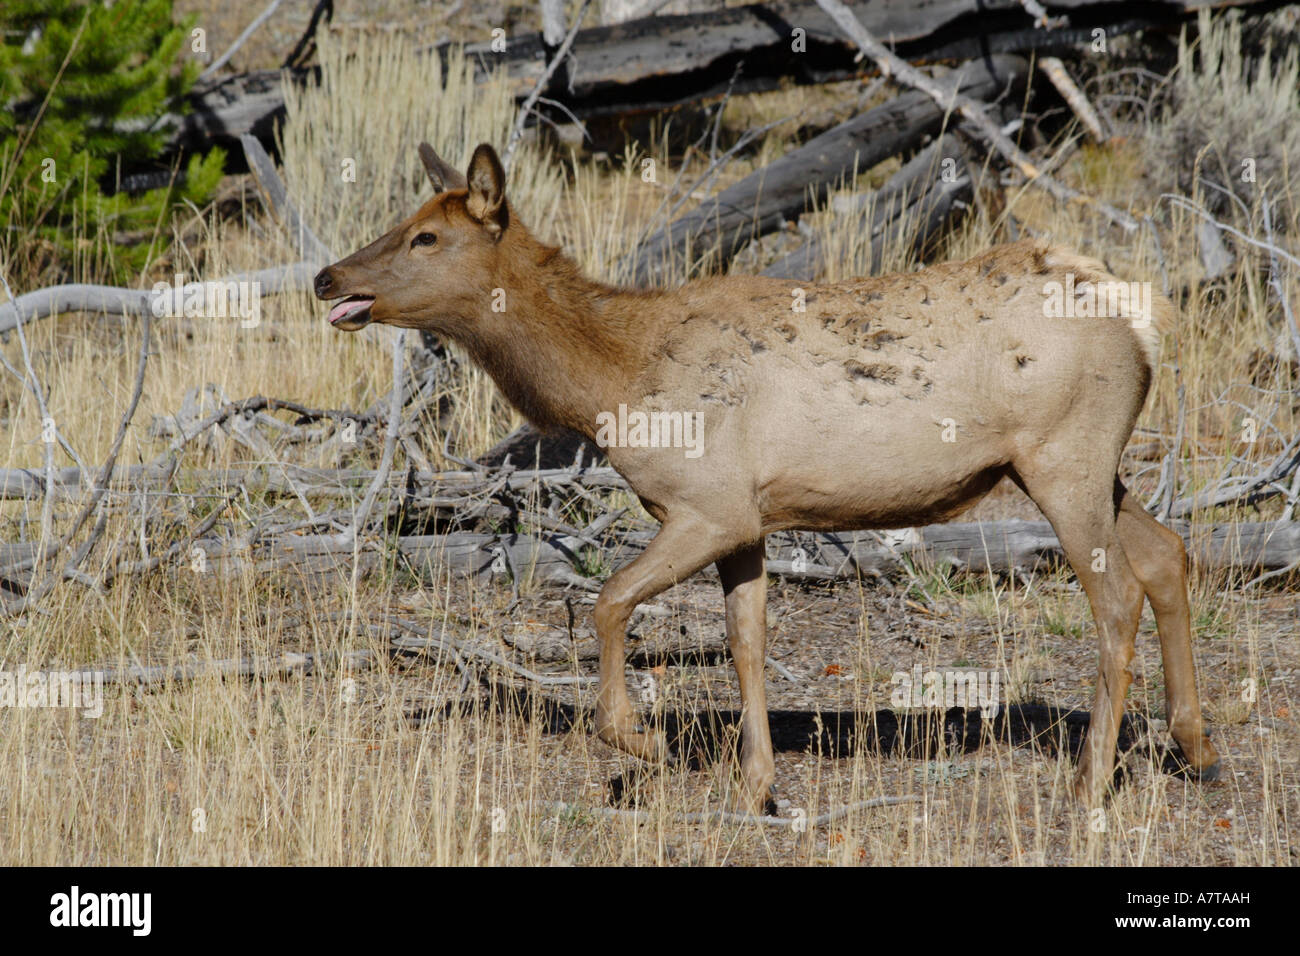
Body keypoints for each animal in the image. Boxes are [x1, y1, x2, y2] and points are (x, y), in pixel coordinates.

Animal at [314, 141, 1221, 813]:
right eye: (404, 222)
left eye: (427, 237)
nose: (328, 277)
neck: (614, 381)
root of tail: (1140, 316)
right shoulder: (749, 520)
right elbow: (746, 639)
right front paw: (758, 786)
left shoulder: (706, 503)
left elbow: (608, 600)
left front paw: (637, 740)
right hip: (1078, 463)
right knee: (1166, 553)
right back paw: (1197, 747)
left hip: (1064, 456)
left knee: (1117, 596)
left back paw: (1091, 780)